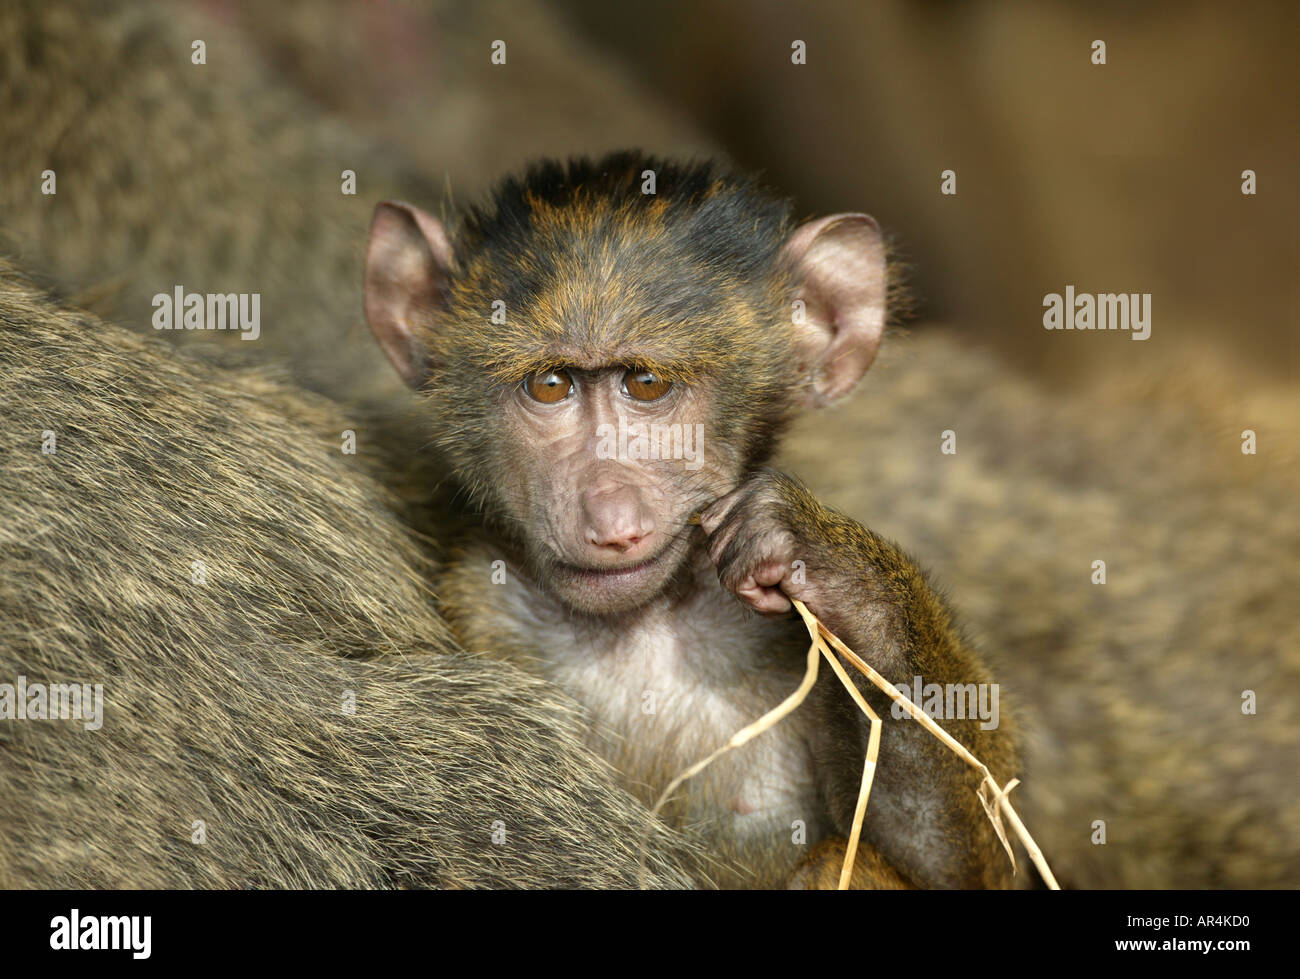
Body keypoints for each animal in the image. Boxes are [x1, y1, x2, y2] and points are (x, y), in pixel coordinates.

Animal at [363, 153, 1023, 889]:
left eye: (647, 384)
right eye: (551, 385)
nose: (611, 518)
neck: (648, 624)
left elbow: (959, 867)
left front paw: (831, 566)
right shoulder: (481, 596)